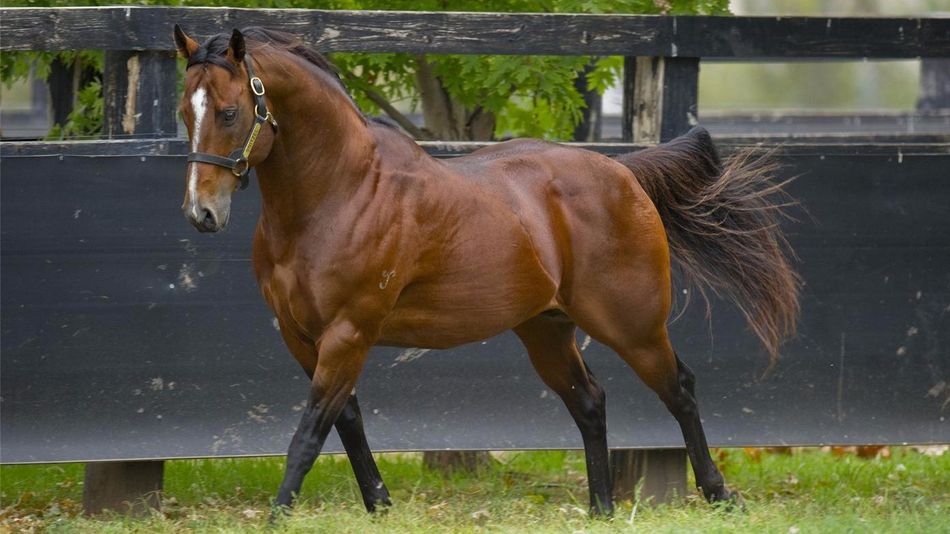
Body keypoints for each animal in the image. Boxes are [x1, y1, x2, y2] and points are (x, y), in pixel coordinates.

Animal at [173, 25, 800, 516]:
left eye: (229, 112)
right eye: (185, 113)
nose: (202, 213)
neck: (340, 194)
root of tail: (624, 172)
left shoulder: (350, 331)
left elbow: (310, 432)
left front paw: (279, 514)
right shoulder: (300, 335)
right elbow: (345, 419)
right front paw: (379, 504)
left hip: (634, 326)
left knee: (680, 390)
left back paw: (719, 494)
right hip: (546, 329)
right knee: (591, 401)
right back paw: (601, 507)